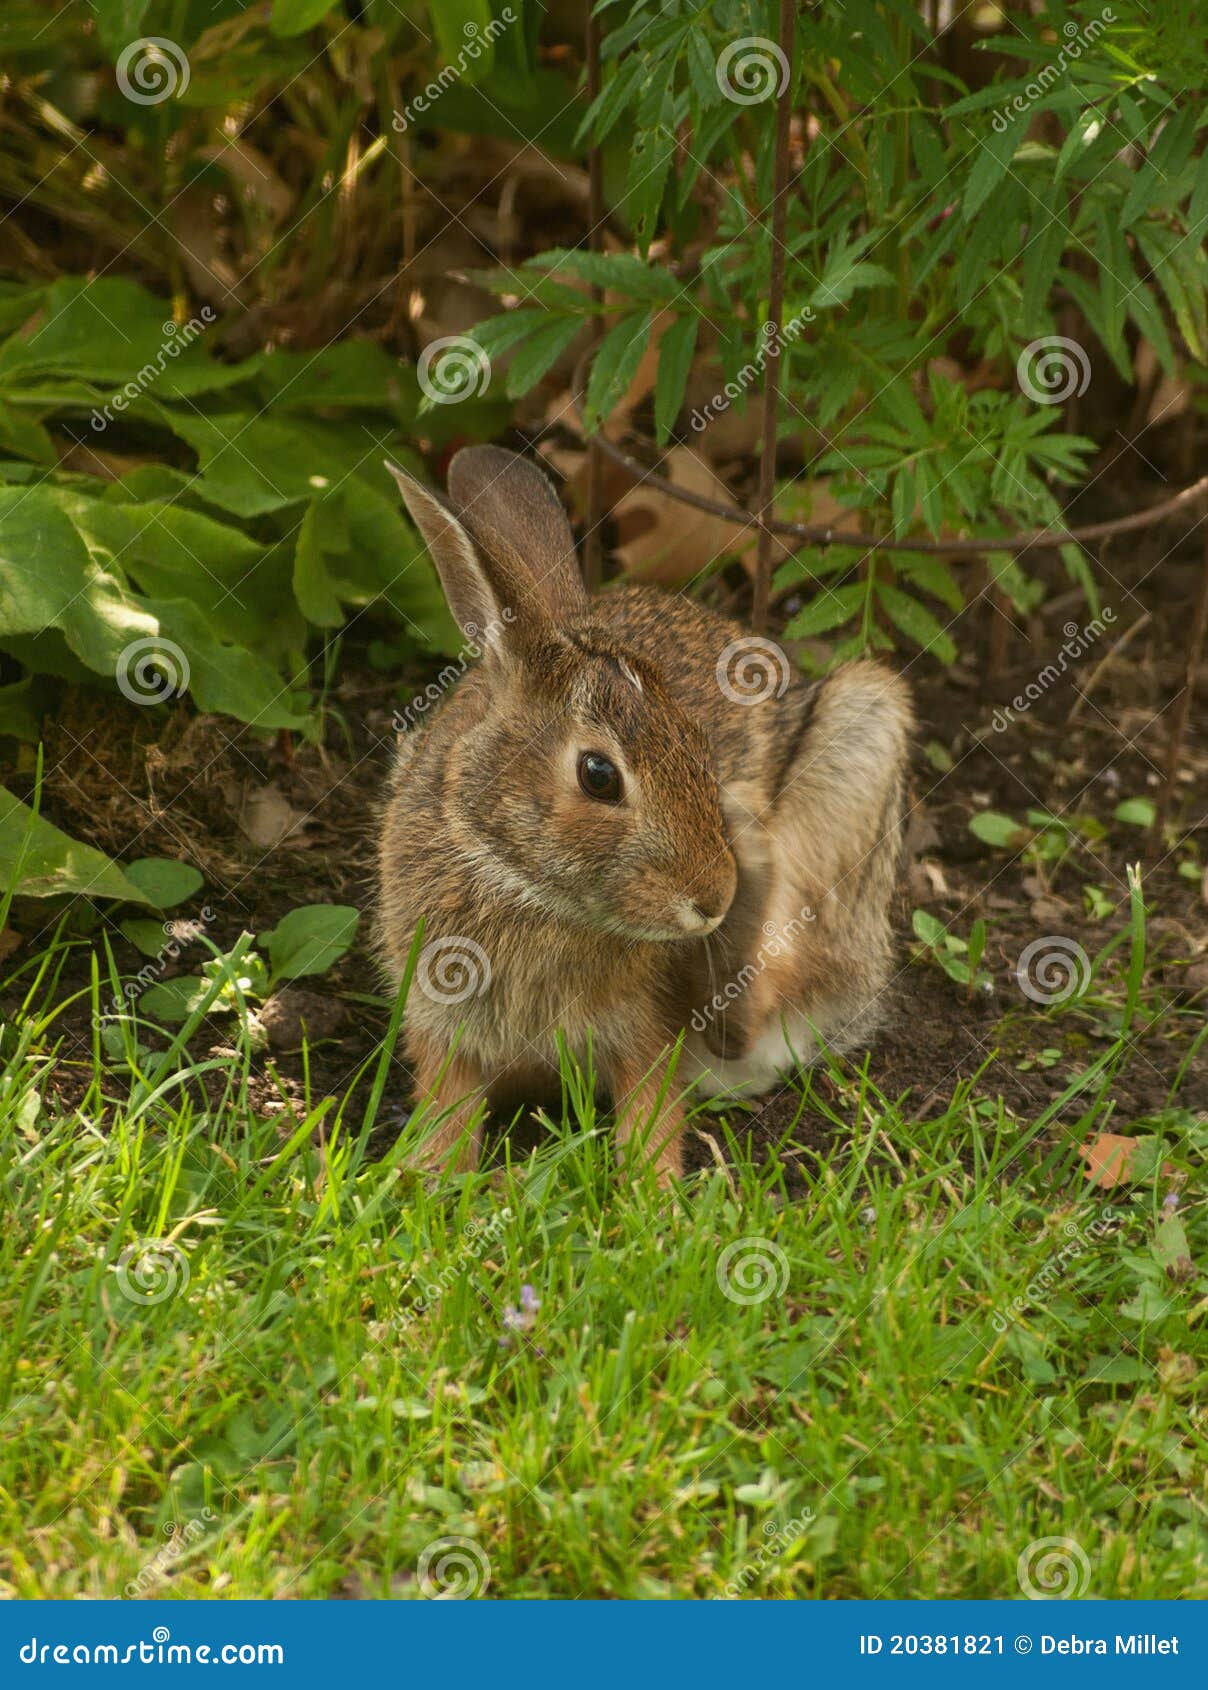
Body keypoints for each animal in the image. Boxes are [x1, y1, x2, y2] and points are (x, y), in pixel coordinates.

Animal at [378, 445, 913, 1182]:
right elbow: (448, 1109)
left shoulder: (645, 1026)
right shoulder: (441, 1020)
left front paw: (651, 1194)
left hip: (865, 733)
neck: (522, 883)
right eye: (599, 776)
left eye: (698, 747)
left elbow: (651, 1110)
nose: (710, 900)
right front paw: (433, 1179)